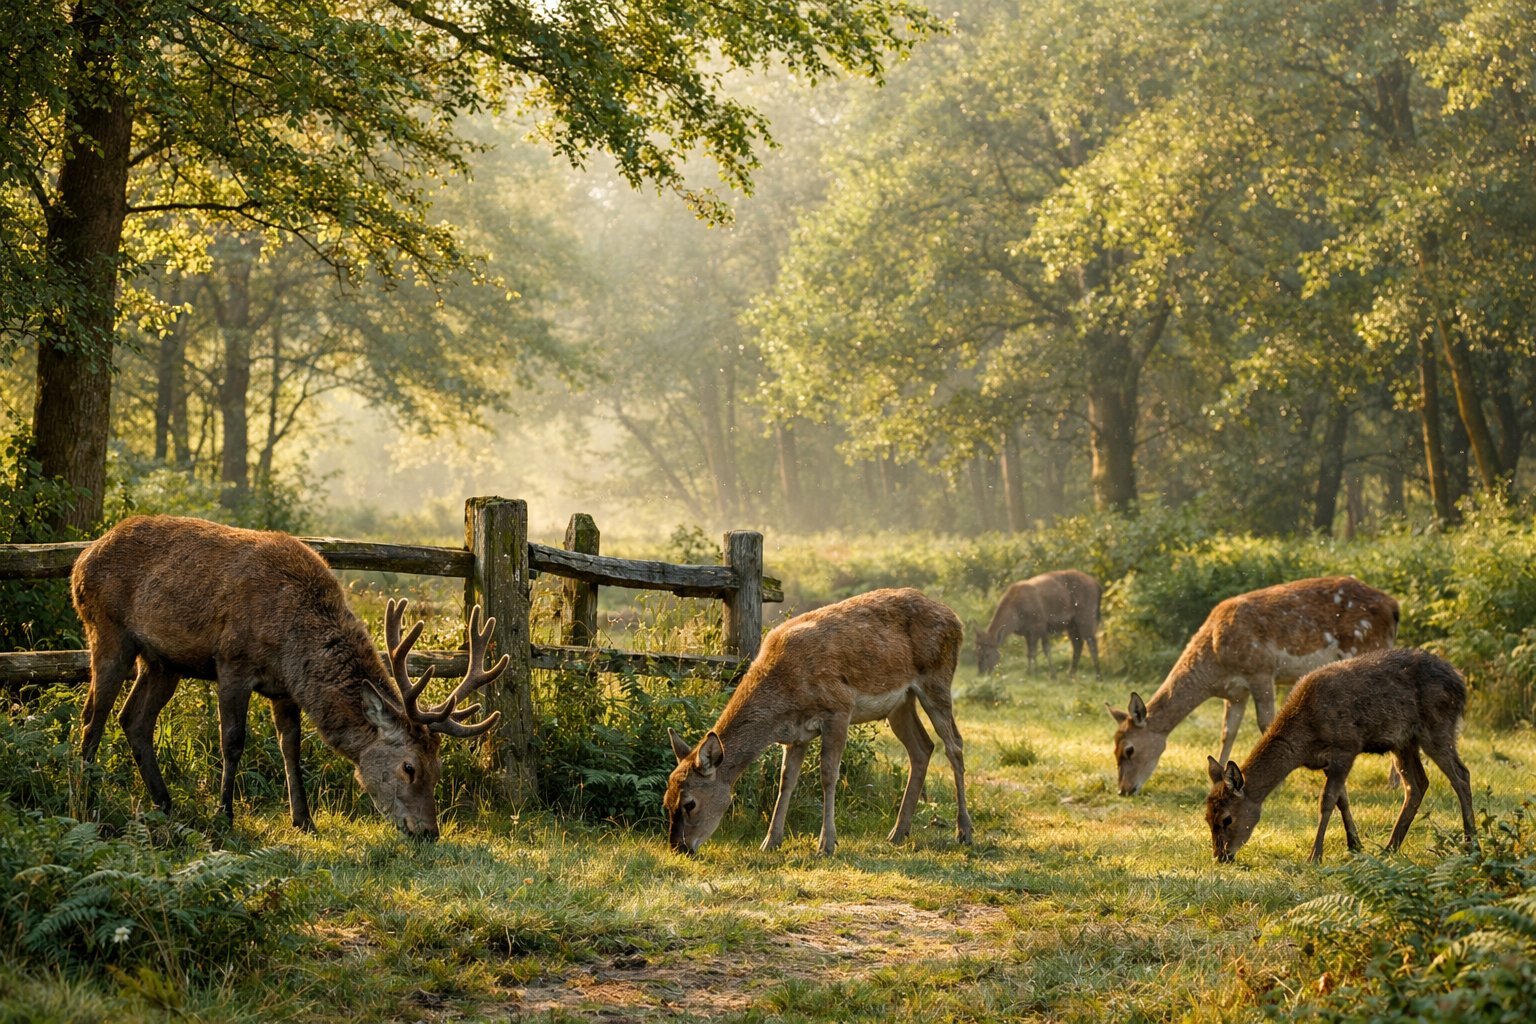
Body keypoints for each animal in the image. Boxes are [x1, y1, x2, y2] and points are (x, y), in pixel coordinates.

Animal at [72, 515, 506, 839]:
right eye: (409, 767)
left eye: (439, 769)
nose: (429, 831)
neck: (291, 642)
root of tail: (82, 558)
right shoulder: (232, 662)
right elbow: (232, 742)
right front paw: (224, 815)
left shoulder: (285, 689)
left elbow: (291, 747)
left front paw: (304, 819)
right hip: (106, 630)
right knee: (93, 715)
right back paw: (85, 800)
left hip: (163, 662)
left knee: (134, 719)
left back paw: (164, 803)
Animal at [663, 587, 972, 857]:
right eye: (666, 802)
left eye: (690, 803)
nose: (679, 847)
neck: (784, 696)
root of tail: (957, 619)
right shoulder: (796, 735)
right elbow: (786, 780)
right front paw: (770, 842)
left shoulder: (839, 708)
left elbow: (828, 775)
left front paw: (826, 844)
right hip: (900, 703)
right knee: (922, 747)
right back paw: (898, 832)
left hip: (937, 678)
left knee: (954, 745)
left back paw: (964, 831)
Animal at [1106, 576, 1399, 796]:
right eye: (1114, 748)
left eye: (1129, 750)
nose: (1124, 789)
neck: (1215, 664)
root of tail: (1394, 607)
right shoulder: (1236, 692)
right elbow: (1228, 731)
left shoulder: (1261, 670)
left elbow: (1266, 723)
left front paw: (1278, 784)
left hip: (1365, 643)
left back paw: (1393, 783)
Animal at [1205, 647, 1476, 863]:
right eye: (1207, 817)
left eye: (1227, 819)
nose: (1221, 856)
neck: (1303, 742)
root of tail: (1461, 682)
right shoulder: (1327, 761)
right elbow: (1342, 799)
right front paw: (1355, 844)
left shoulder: (1347, 746)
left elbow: (1326, 800)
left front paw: (1315, 855)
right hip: (1404, 741)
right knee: (1417, 784)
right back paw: (1390, 847)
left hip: (1438, 726)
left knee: (1461, 775)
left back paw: (1471, 843)